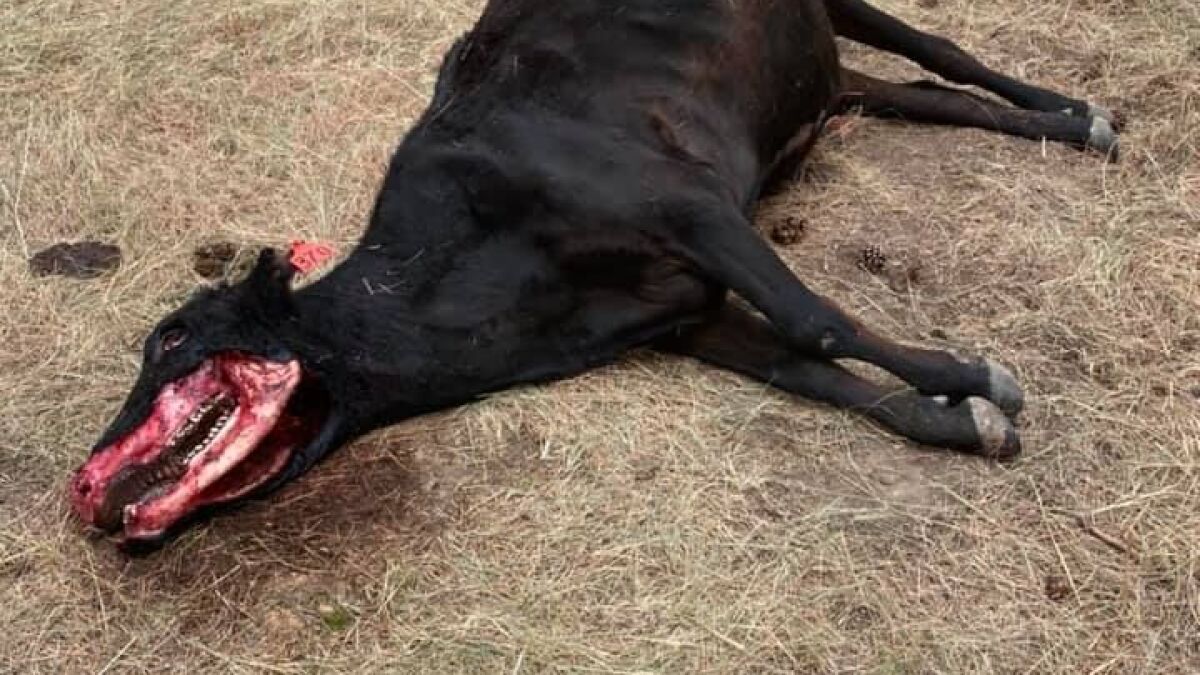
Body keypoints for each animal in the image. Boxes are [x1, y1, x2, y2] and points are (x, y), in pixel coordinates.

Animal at [70, 0, 1119, 545]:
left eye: (168, 337)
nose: (85, 483)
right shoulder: (686, 317)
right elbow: (817, 373)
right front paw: (959, 419)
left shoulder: (685, 204)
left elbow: (816, 321)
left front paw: (976, 375)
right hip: (827, 86)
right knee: (923, 90)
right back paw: (1057, 125)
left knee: (940, 47)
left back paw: (1079, 115)